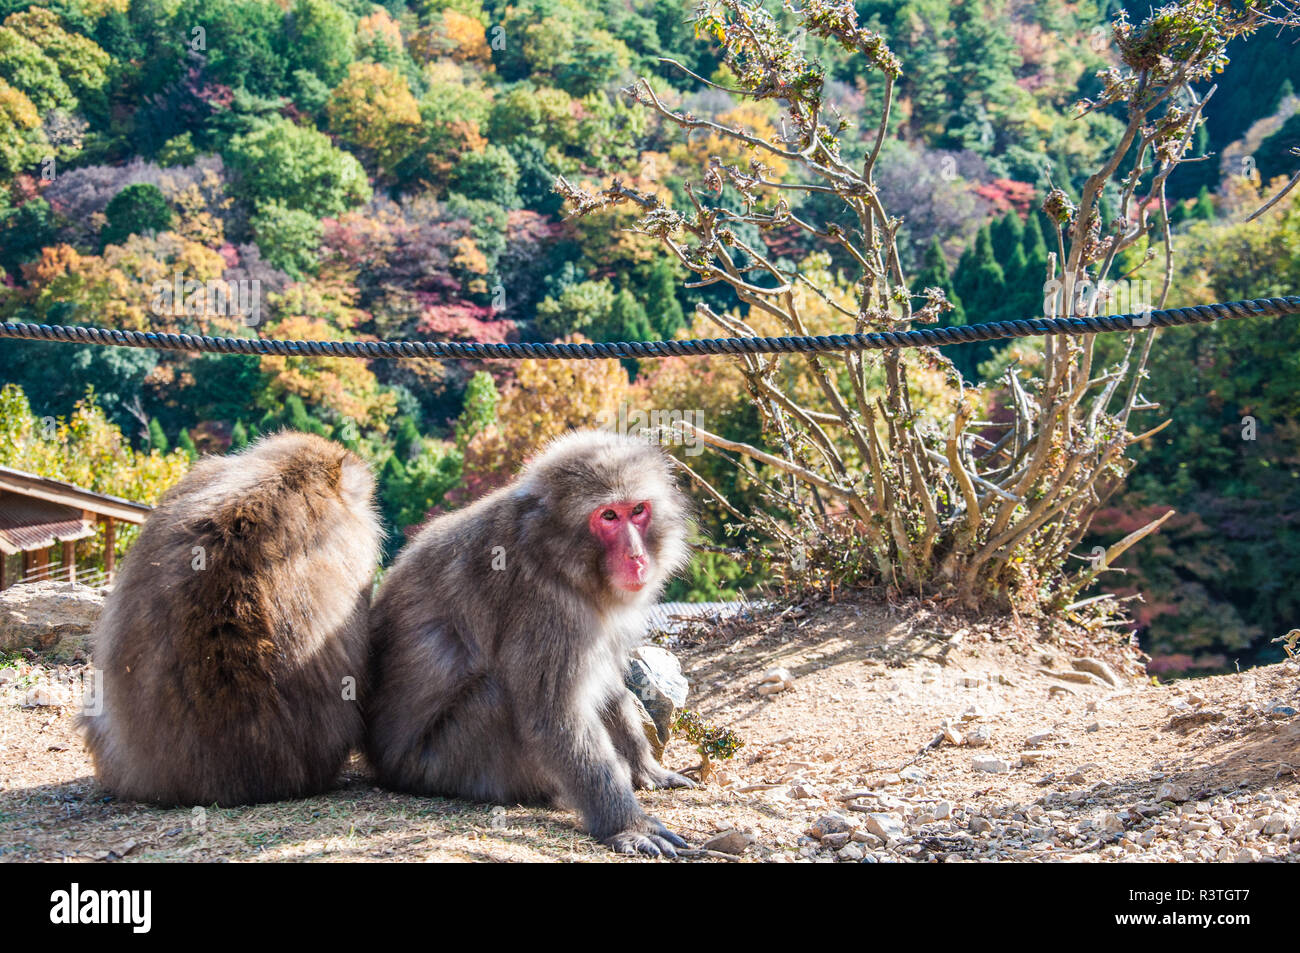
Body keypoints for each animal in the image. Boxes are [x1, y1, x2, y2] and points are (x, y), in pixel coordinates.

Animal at [364, 430, 696, 857]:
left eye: (637, 510)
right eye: (608, 517)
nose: (637, 558)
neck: (551, 552)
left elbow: (606, 686)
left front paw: (646, 768)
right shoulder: (543, 606)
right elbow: (552, 717)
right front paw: (627, 823)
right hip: (442, 764)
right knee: (498, 695)